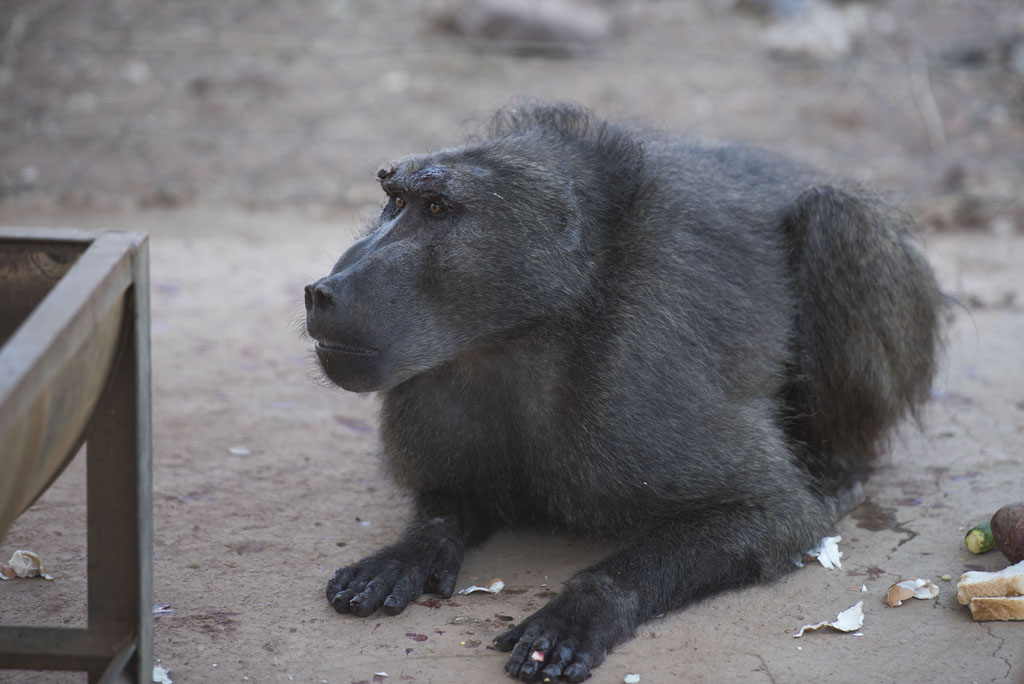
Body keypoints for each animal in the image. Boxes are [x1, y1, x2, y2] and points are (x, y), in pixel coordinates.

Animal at [304, 102, 941, 682]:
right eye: (394, 201)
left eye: (437, 208)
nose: (323, 291)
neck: (531, 330)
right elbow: (449, 499)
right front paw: (408, 553)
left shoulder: (635, 386)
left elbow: (775, 513)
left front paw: (581, 610)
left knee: (837, 218)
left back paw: (839, 472)